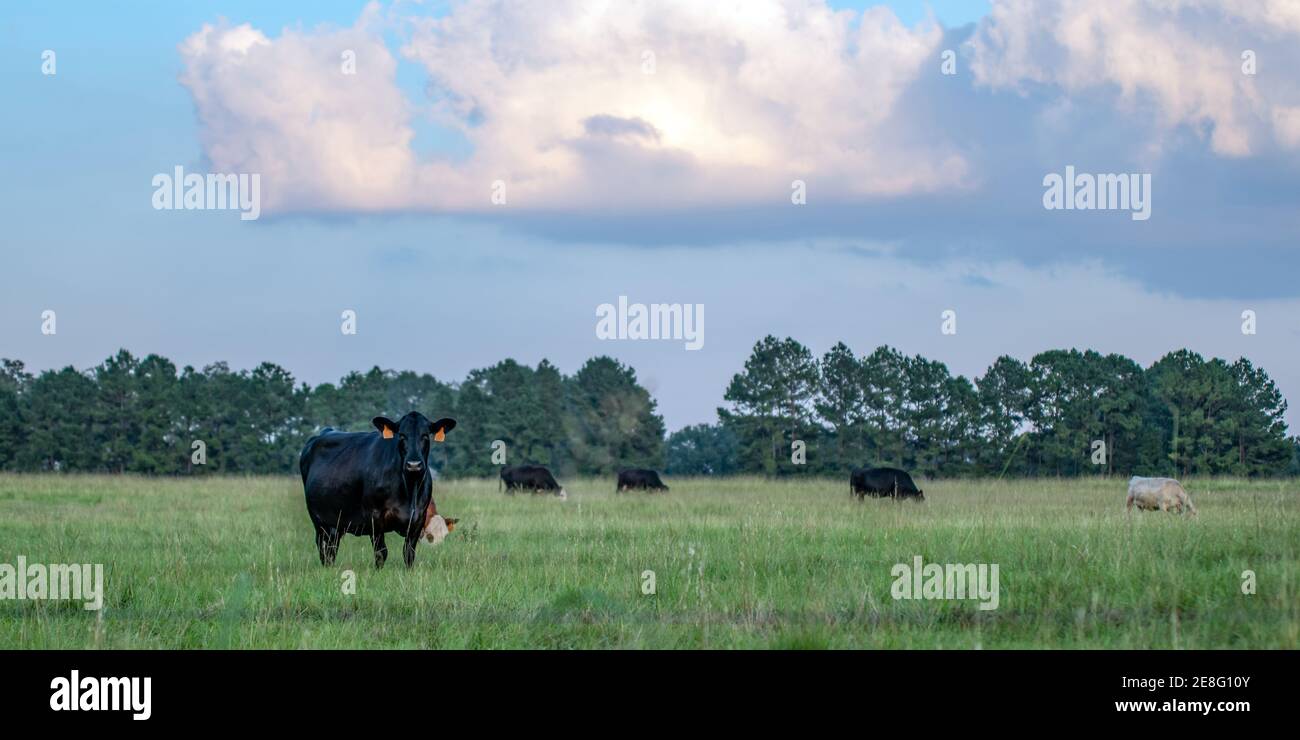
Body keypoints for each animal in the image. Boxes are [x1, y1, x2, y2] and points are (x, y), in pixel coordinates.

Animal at [300, 411, 457, 568]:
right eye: (401, 435)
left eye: (425, 435)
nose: (414, 465)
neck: (409, 489)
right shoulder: (374, 516)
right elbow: (381, 552)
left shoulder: (418, 518)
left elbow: (409, 553)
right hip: (319, 521)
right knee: (324, 549)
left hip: (336, 523)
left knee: (332, 548)